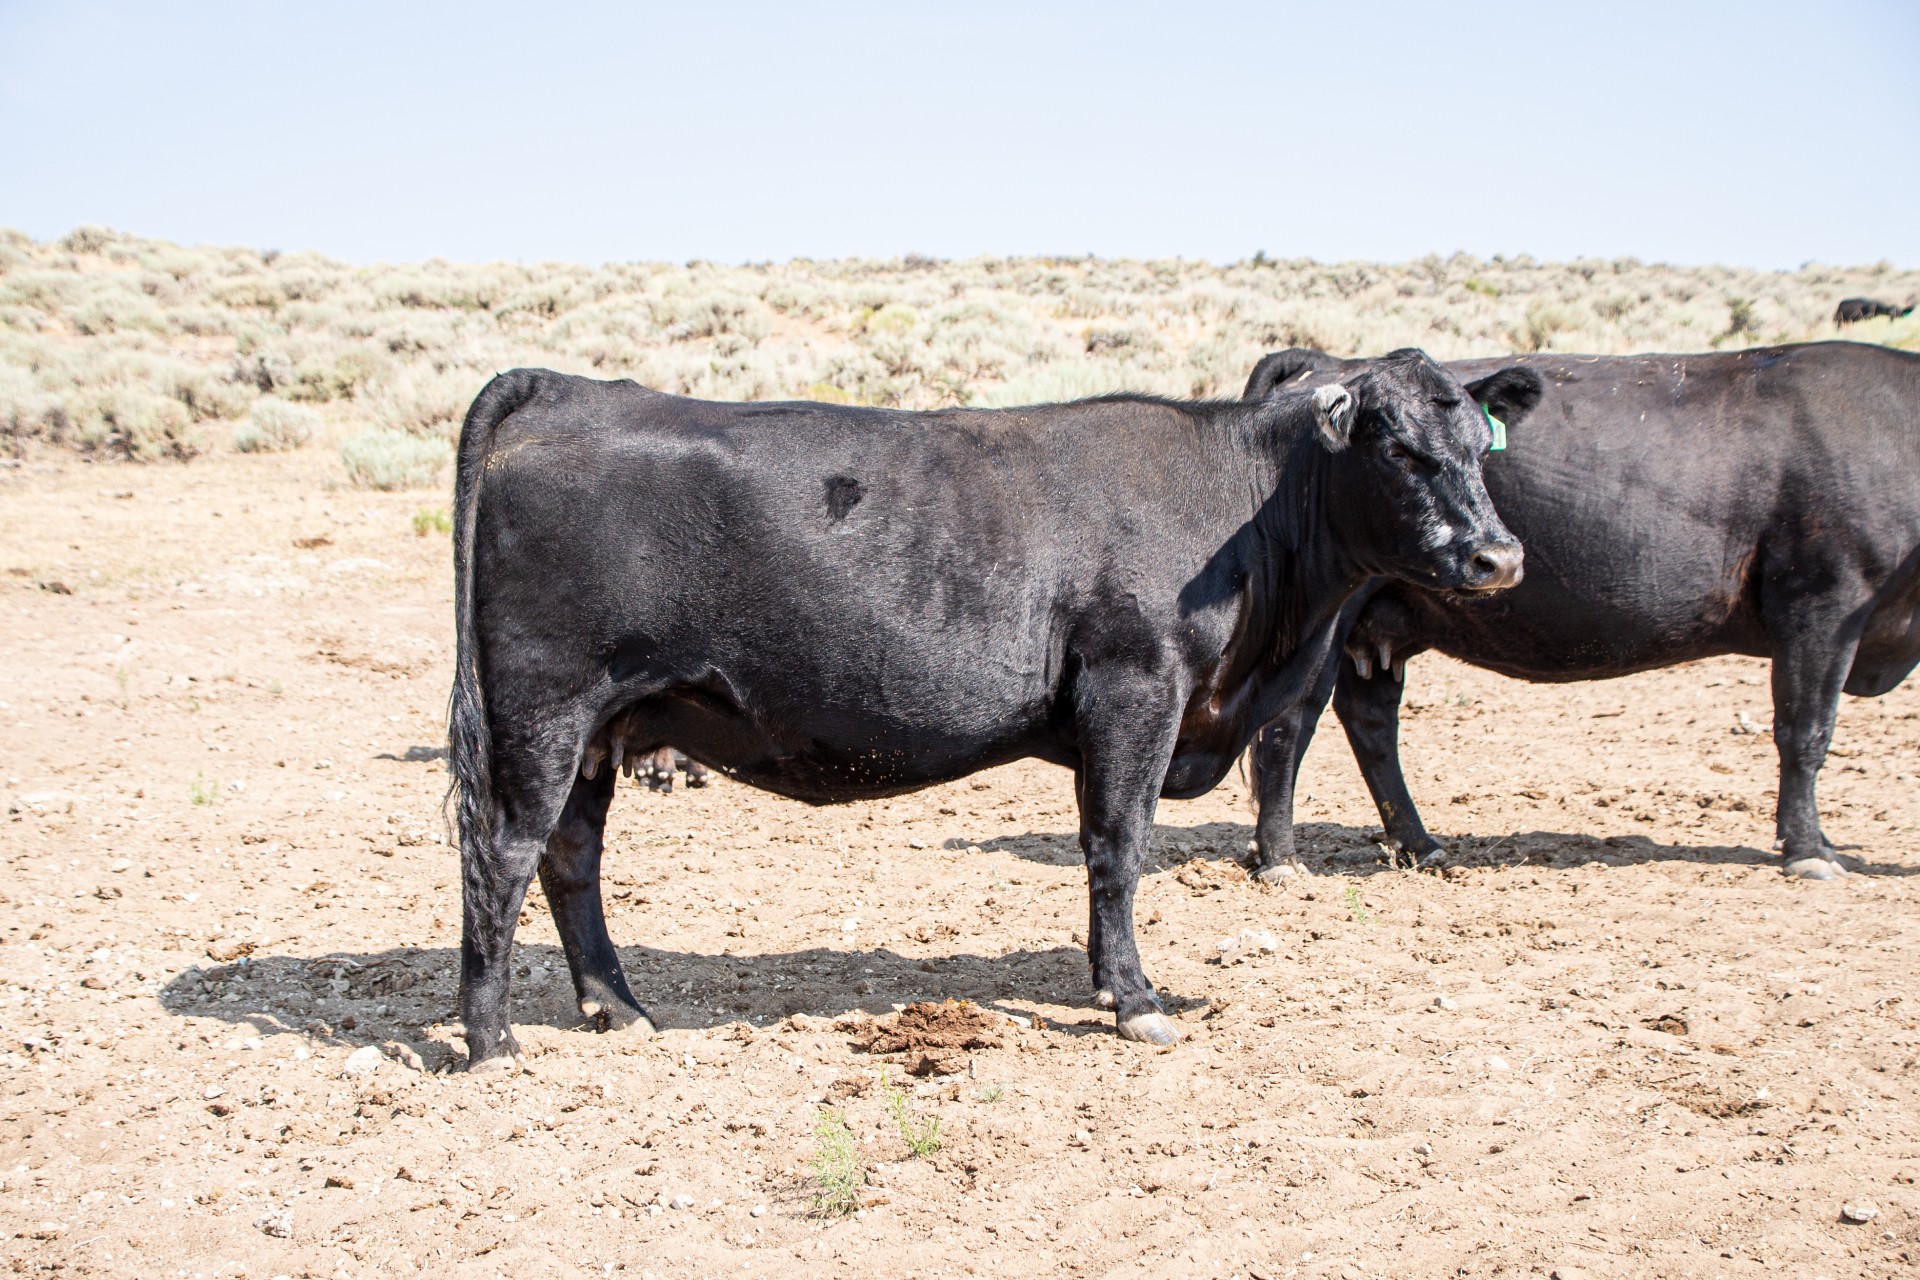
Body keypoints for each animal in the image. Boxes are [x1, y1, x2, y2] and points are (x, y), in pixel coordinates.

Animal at [447, 351, 1527, 1071]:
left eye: (1478, 446)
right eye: (1399, 448)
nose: (1499, 556)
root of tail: (565, 386)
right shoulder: (1135, 689)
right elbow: (1119, 846)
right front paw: (1137, 999)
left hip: (604, 726)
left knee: (571, 854)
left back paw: (619, 1008)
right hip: (544, 710)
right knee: (502, 853)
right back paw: (491, 1040)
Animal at [1241, 342, 1920, 883]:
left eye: (1484, 450)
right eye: (1399, 452)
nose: (1503, 558)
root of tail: (1327, 360)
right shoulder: (1822, 600)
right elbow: (1805, 731)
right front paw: (1809, 850)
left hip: (1383, 621)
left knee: (1371, 719)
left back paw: (1419, 843)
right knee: (1292, 721)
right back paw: (1280, 856)